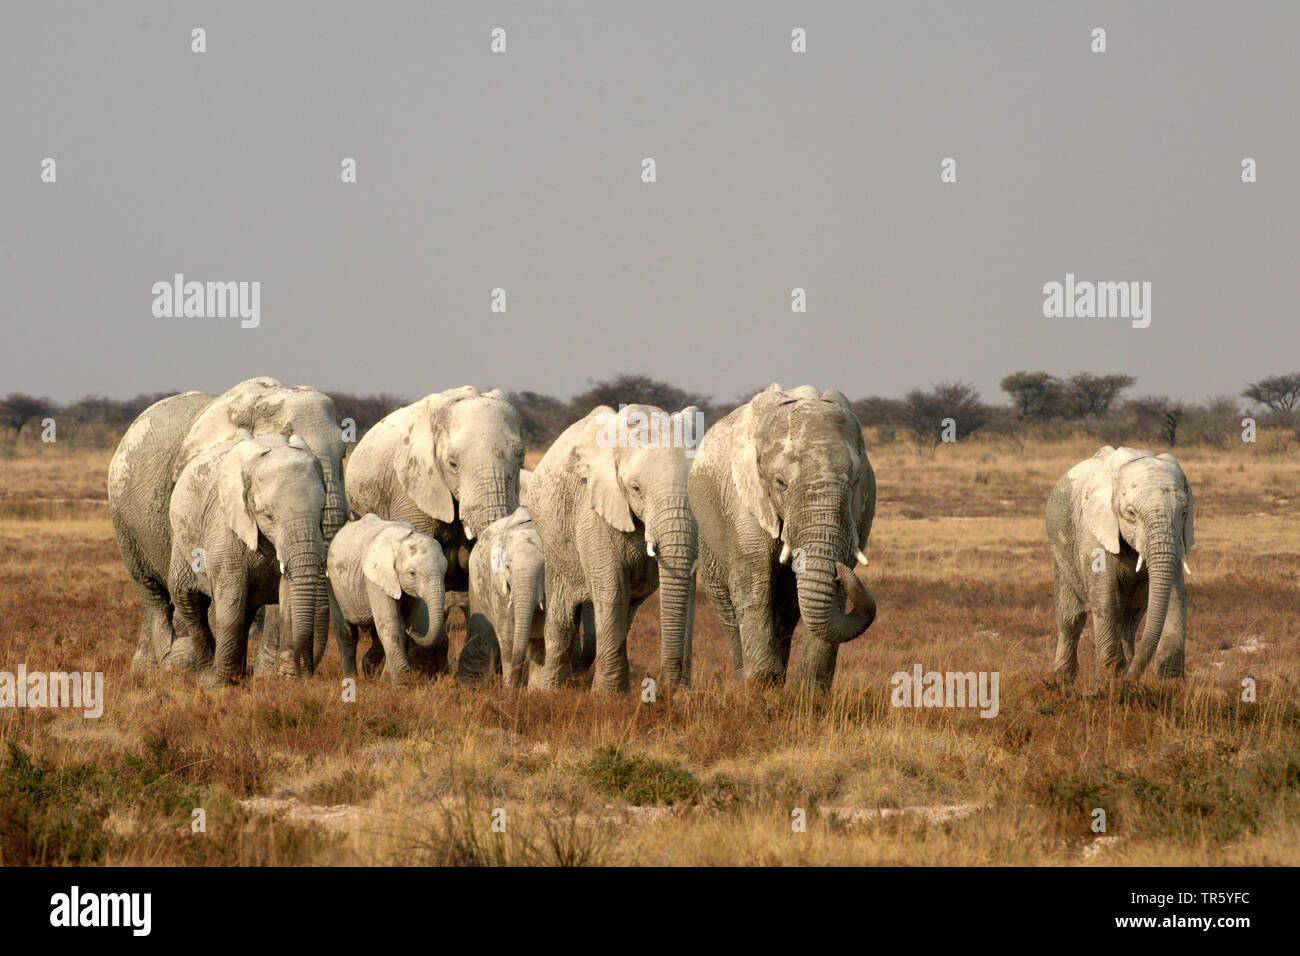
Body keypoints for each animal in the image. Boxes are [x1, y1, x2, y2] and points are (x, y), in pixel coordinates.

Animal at [166, 433, 328, 687]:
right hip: (181, 543)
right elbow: (230, 599)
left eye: (322, 509)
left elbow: (287, 595)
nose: (305, 674)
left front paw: (289, 680)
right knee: (188, 600)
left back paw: (239, 676)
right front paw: (219, 685)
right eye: (268, 515)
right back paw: (207, 676)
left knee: (246, 610)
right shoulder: (223, 527)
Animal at [326, 514, 448, 682]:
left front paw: (385, 681)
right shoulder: (375, 578)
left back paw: (369, 673)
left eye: (445, 572)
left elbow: (403, 625)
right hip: (333, 584)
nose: (412, 631)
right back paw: (352, 678)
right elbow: (390, 625)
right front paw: (401, 683)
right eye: (412, 573)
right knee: (347, 633)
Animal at [528, 404, 700, 693]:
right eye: (636, 489)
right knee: (563, 617)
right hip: (553, 544)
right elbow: (612, 588)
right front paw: (607, 696)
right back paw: (548, 692)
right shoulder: (594, 511)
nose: (665, 687)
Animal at [688, 385, 877, 691]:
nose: (841, 572)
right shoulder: (743, 501)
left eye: (854, 480)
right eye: (780, 483)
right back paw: (745, 678)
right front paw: (758, 684)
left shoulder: (860, 507)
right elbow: (753, 577)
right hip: (708, 523)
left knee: (786, 608)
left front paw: (810, 693)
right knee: (727, 604)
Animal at [1046, 446, 1195, 682]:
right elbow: (1105, 597)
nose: (1130, 681)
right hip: (1060, 549)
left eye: (1183, 512)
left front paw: (1170, 682)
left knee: (1130, 617)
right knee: (1070, 618)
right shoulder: (1092, 531)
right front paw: (1109, 680)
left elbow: (1176, 594)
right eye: (1131, 513)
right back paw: (1062, 679)